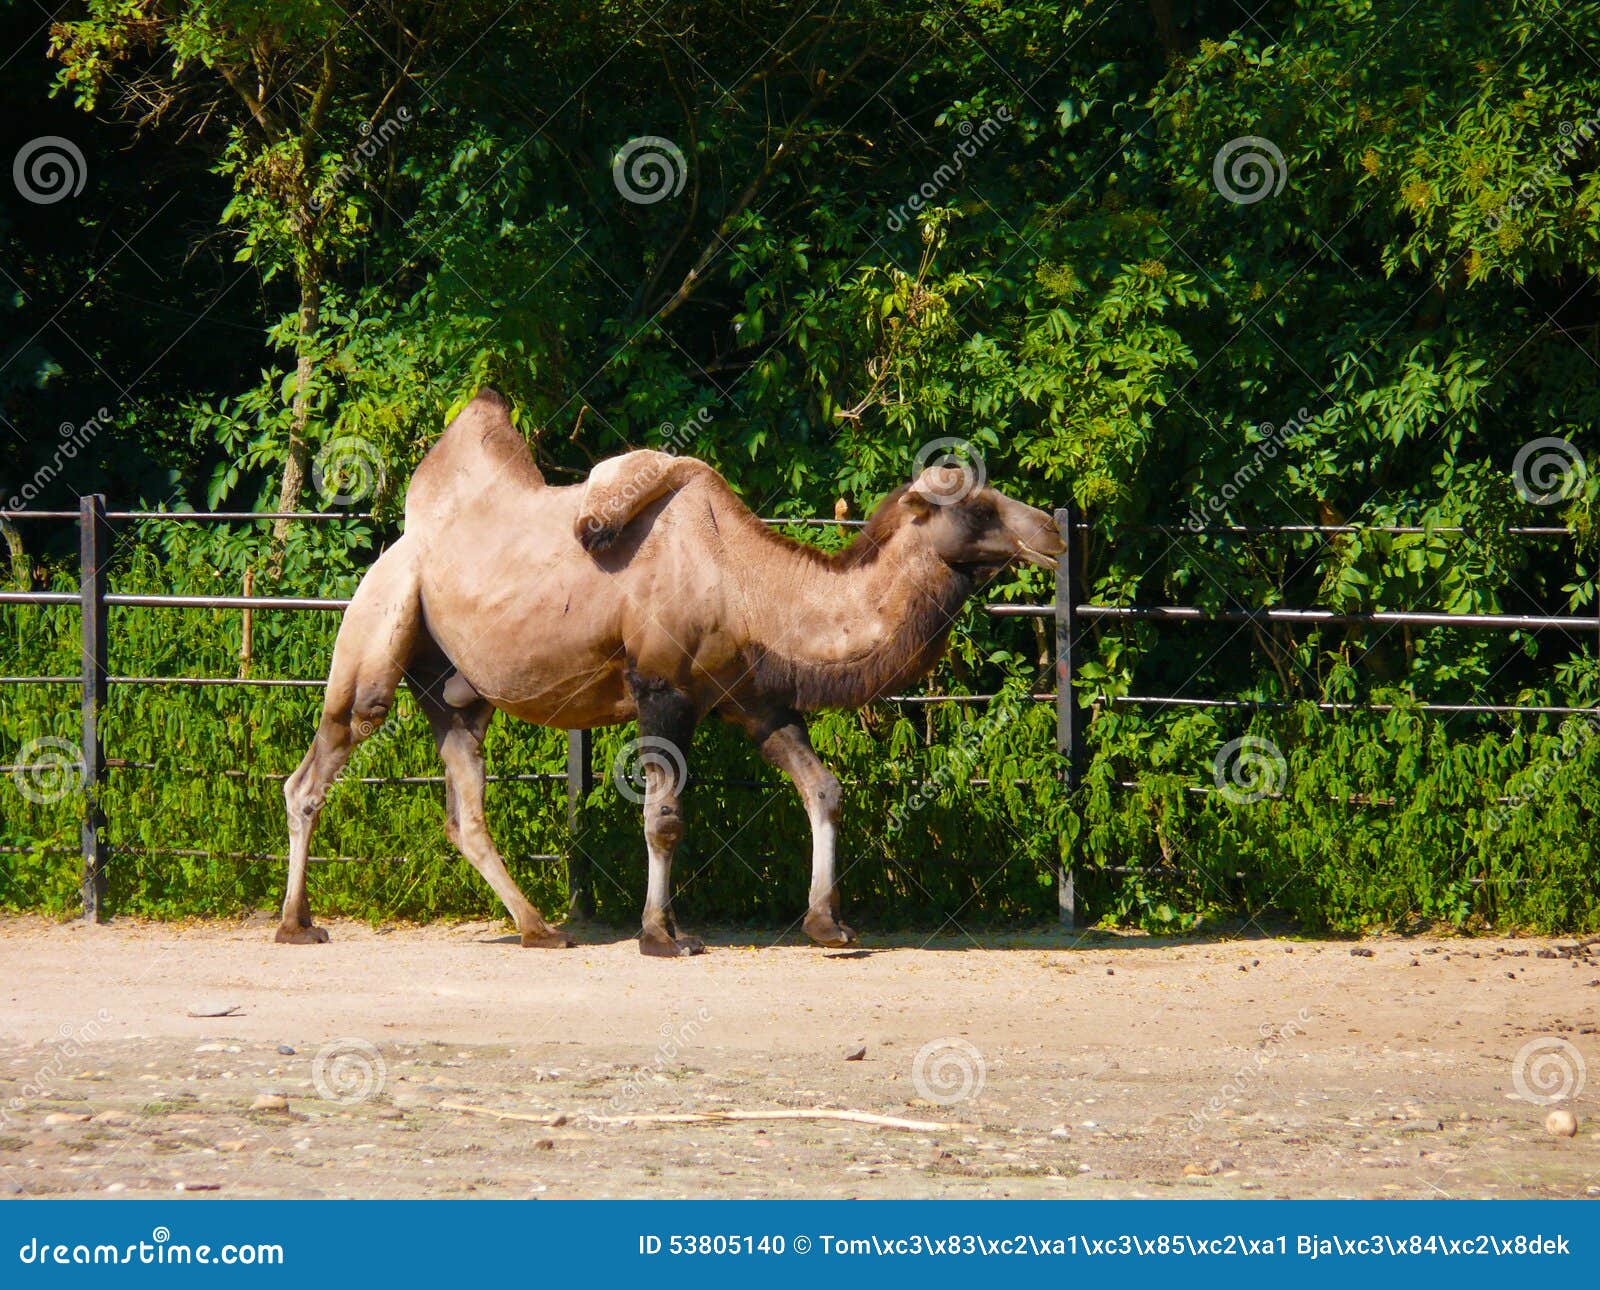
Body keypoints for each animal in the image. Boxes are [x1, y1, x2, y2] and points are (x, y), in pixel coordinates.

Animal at [277, 388, 1063, 955]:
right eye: (976, 502)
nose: (1055, 531)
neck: (745, 585)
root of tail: (399, 543)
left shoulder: (753, 700)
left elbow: (824, 790)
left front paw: (828, 925)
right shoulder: (663, 690)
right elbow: (664, 818)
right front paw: (662, 935)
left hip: (457, 693)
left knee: (465, 808)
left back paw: (539, 928)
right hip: (379, 621)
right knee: (316, 769)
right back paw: (297, 925)